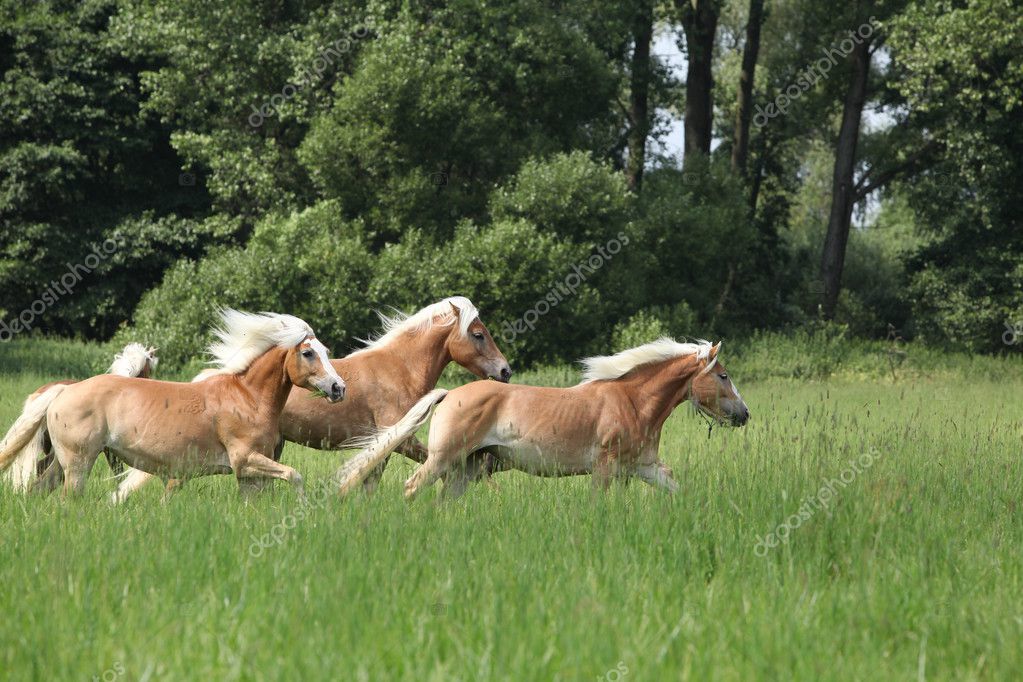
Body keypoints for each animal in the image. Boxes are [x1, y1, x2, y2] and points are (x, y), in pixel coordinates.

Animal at [335, 338, 749, 500]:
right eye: (723, 375)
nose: (744, 414)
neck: (633, 402)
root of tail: (449, 394)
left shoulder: (642, 468)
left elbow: (678, 489)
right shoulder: (605, 468)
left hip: (468, 467)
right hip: (444, 459)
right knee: (412, 488)